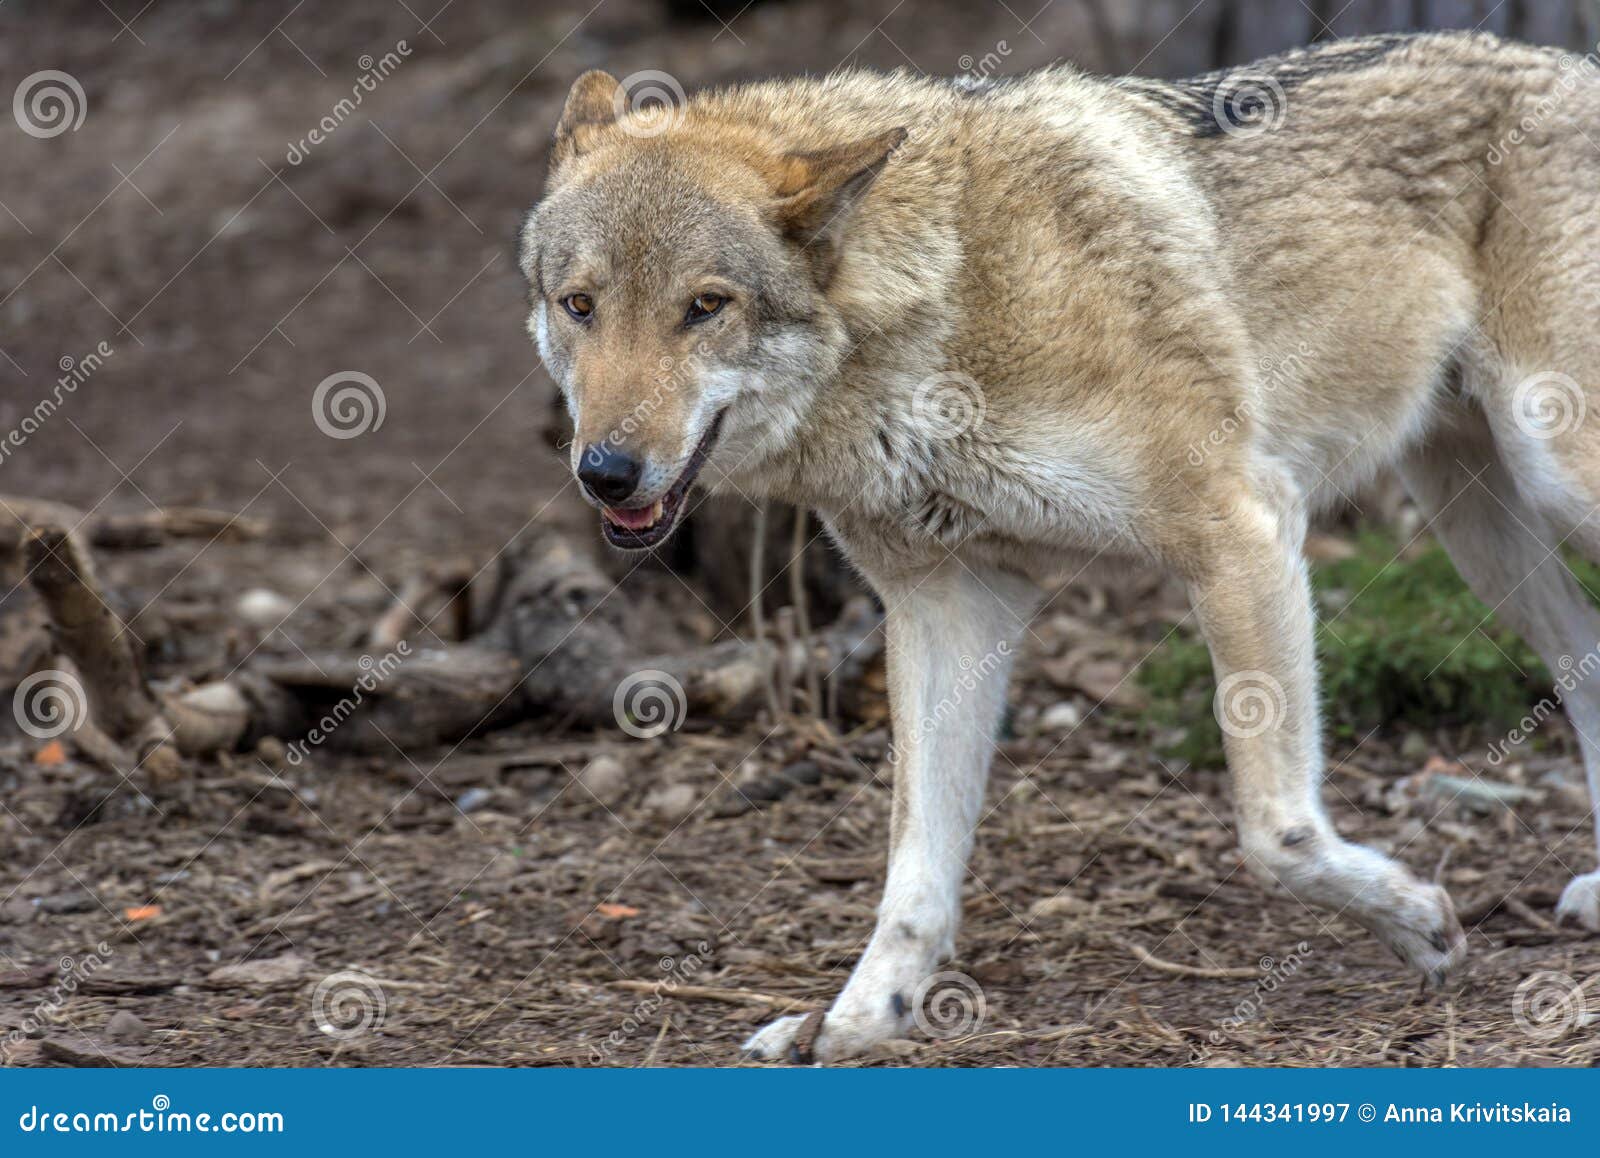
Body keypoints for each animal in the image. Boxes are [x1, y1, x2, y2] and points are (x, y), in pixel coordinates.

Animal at [518, 31, 1600, 1061]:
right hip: (1481, 536)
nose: (604, 471)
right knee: (1582, 656)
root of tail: (1571, 61)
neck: (948, 296)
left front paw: (1421, 922)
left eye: (705, 307)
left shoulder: (1241, 532)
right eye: (580, 306)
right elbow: (914, 874)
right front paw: (857, 1021)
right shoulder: (948, 604)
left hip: (1553, 471)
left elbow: (1276, 835)